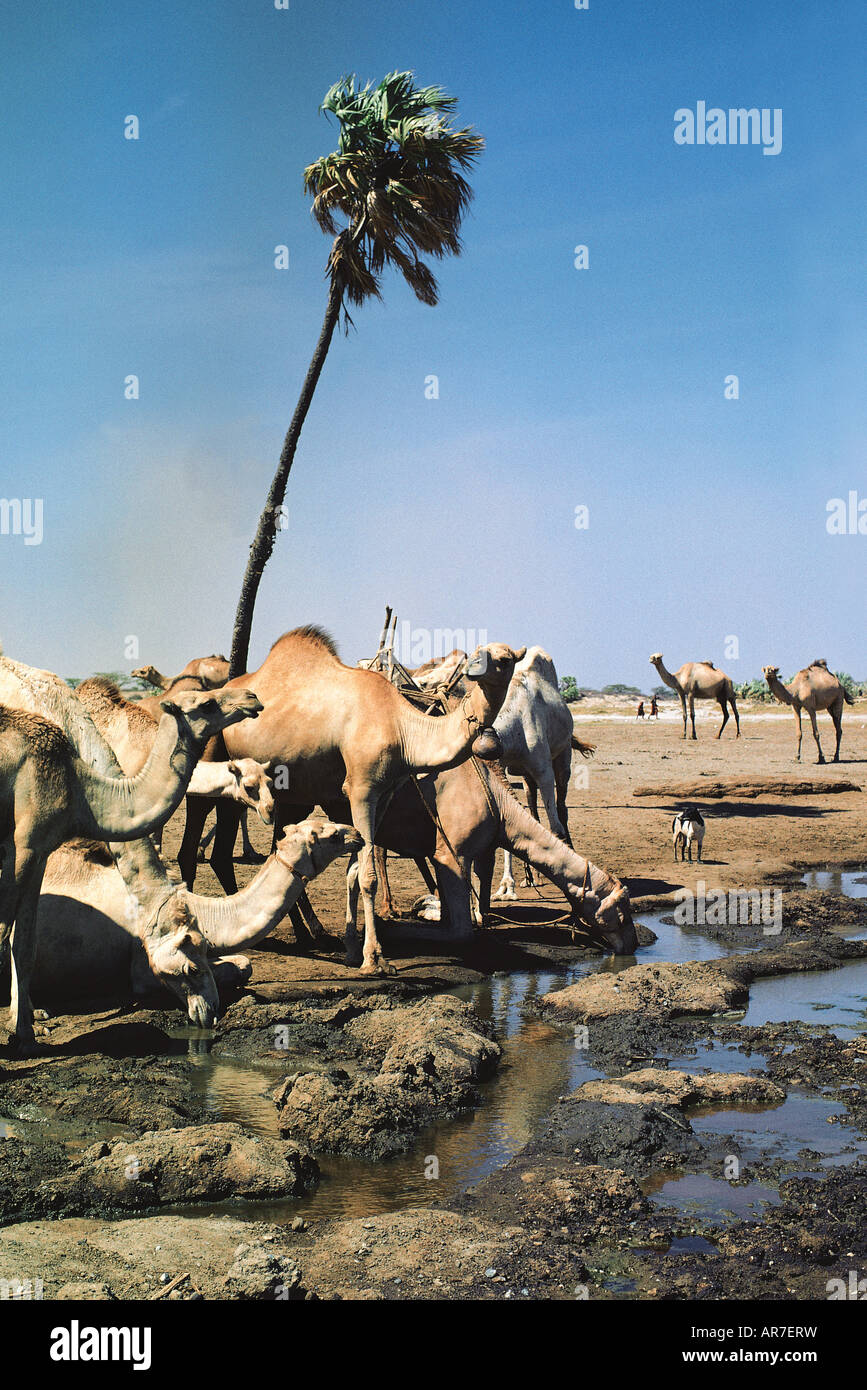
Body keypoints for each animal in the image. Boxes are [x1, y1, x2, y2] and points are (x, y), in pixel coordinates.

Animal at [177, 625, 524, 974]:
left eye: (505, 659)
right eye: (478, 653)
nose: (475, 669)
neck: (403, 728)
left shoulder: (383, 793)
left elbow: (355, 872)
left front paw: (352, 951)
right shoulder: (361, 788)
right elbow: (368, 876)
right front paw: (375, 960)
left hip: (276, 794)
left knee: (231, 851)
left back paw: (307, 935)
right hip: (210, 757)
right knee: (190, 845)